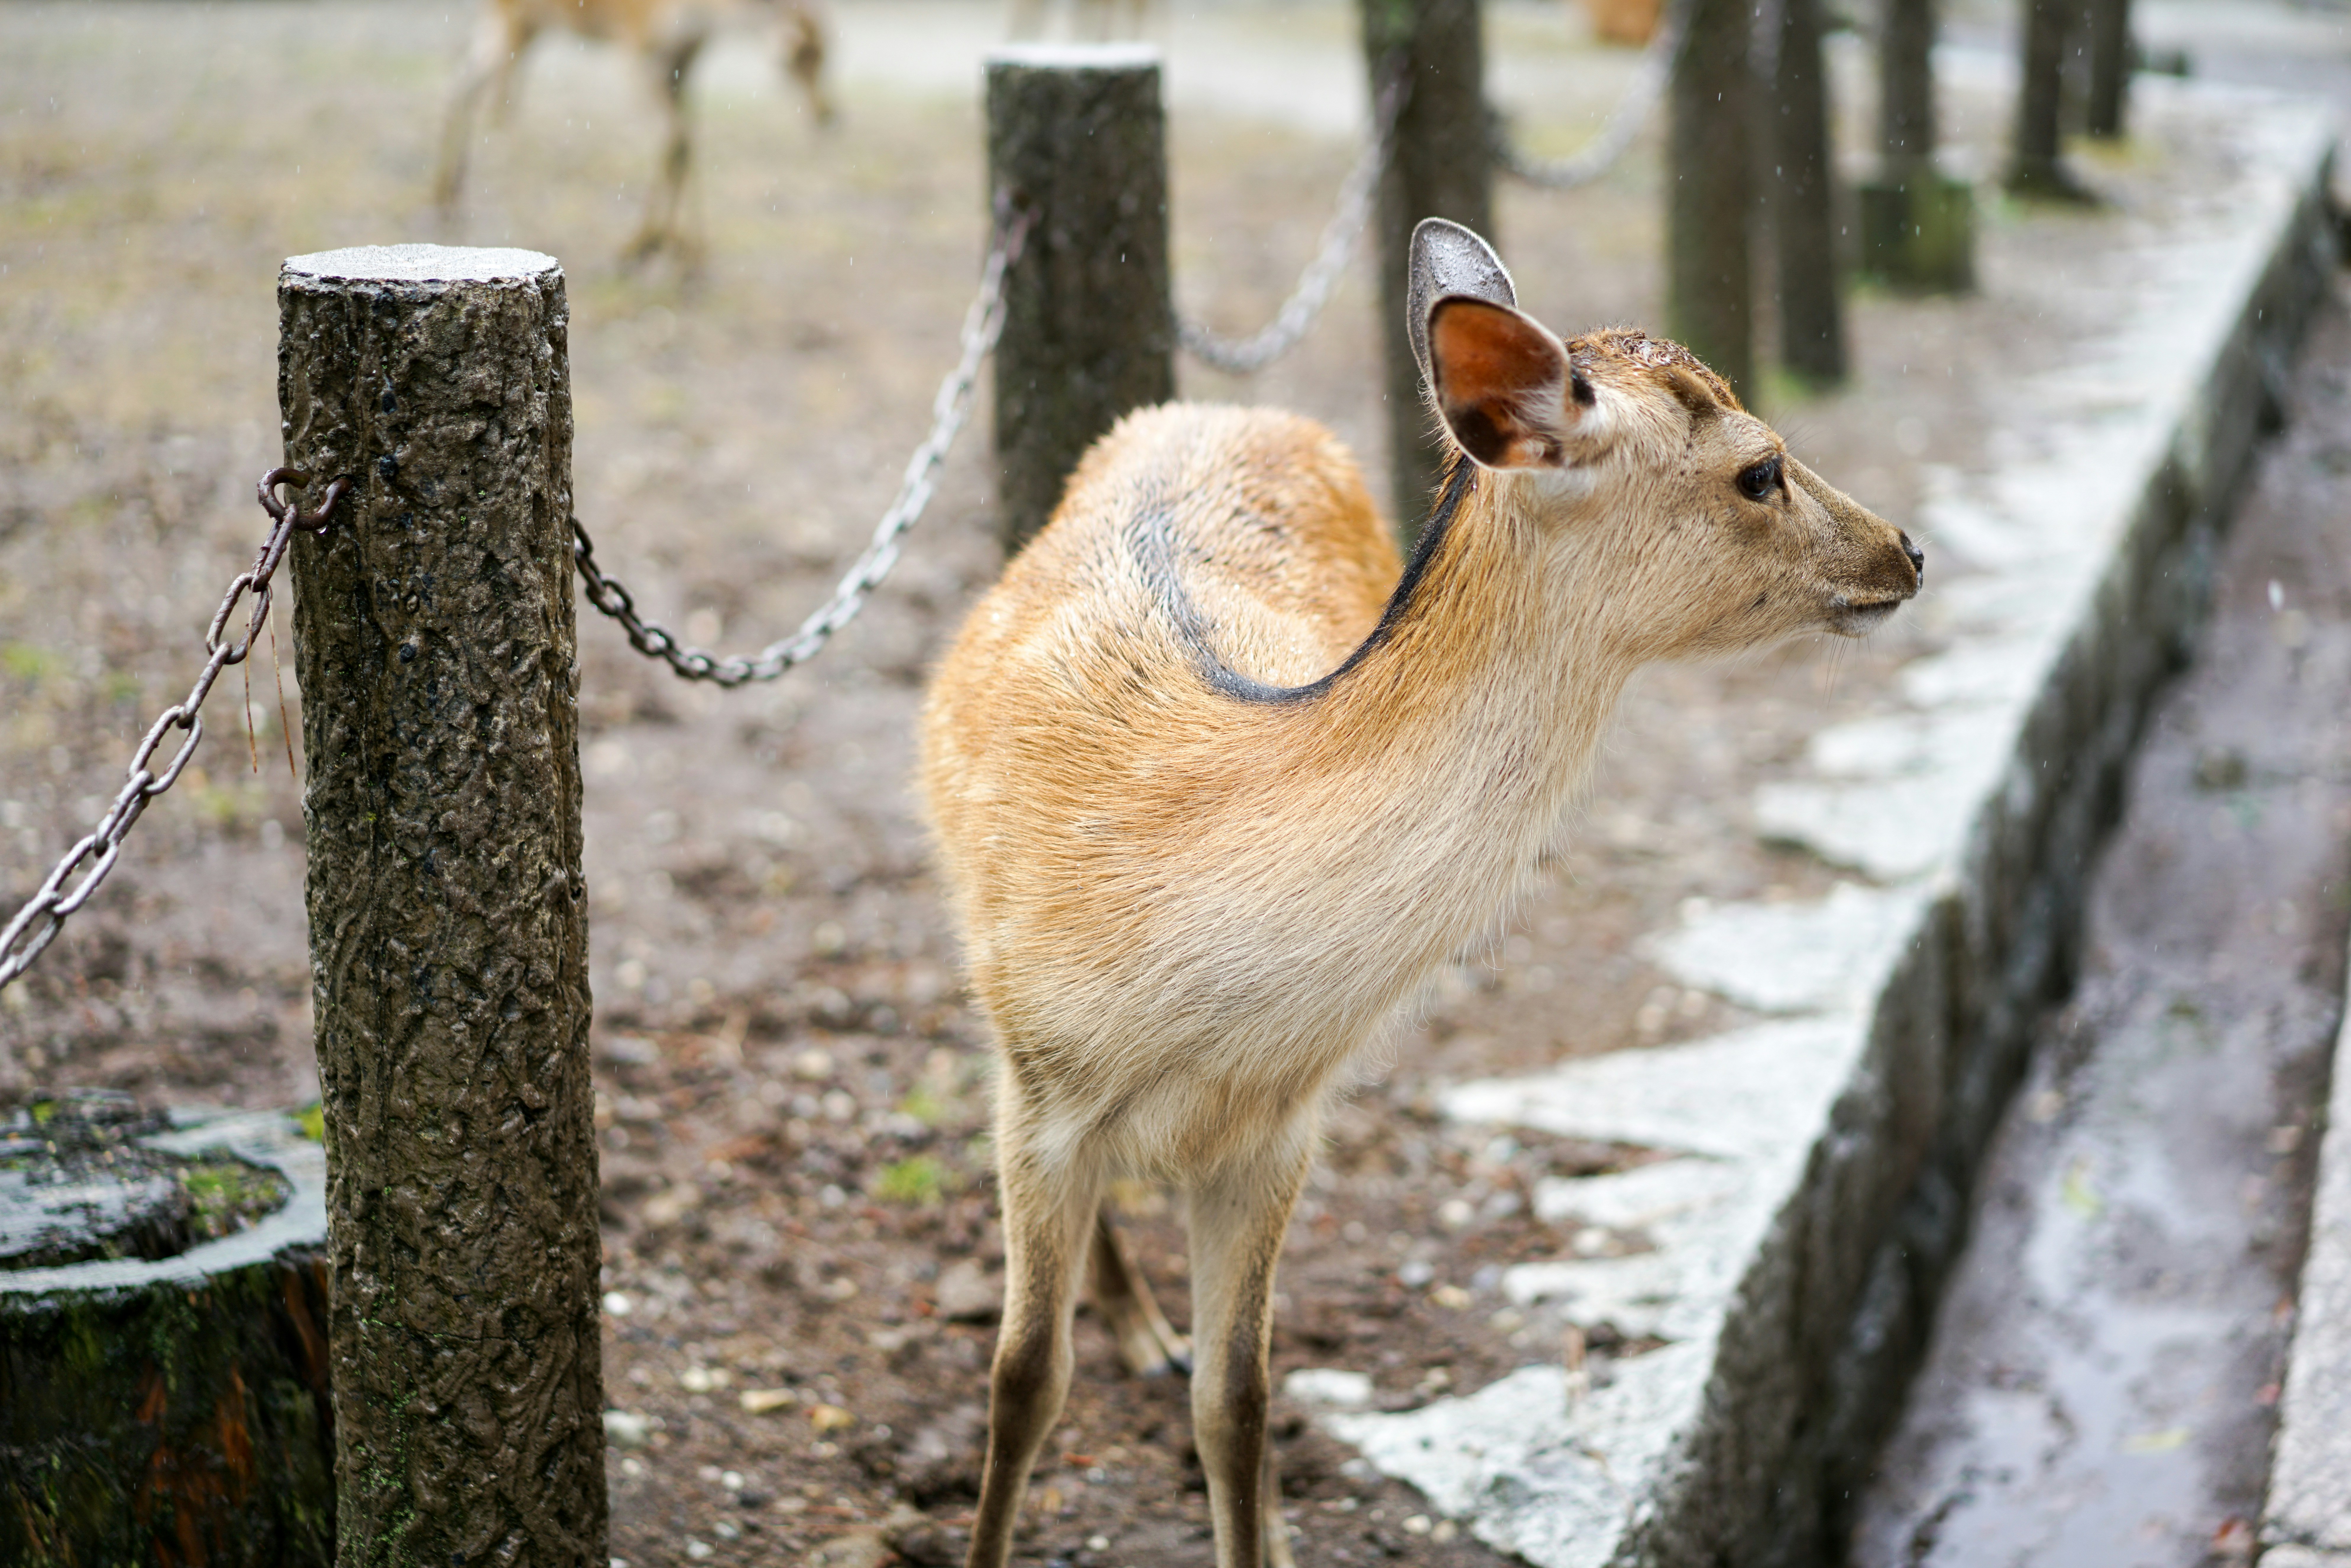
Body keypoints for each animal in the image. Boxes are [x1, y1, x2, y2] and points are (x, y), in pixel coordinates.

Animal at [432, 0, 835, 267]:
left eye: (828, 53)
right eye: (801, 55)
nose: (827, 114)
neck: (700, 18)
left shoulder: (685, 63)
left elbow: (689, 140)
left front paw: (691, 252)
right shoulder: (640, 51)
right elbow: (675, 141)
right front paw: (645, 245)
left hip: (520, 26)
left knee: (460, 86)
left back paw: (448, 200)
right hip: (512, 21)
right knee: (469, 89)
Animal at [916, 219, 1922, 1568]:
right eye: (1757, 469)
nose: (1905, 549)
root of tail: (1212, 402)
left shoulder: (1279, 1125)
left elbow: (1238, 1403)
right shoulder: (1036, 1086)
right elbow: (1022, 1377)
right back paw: (1132, 1323)